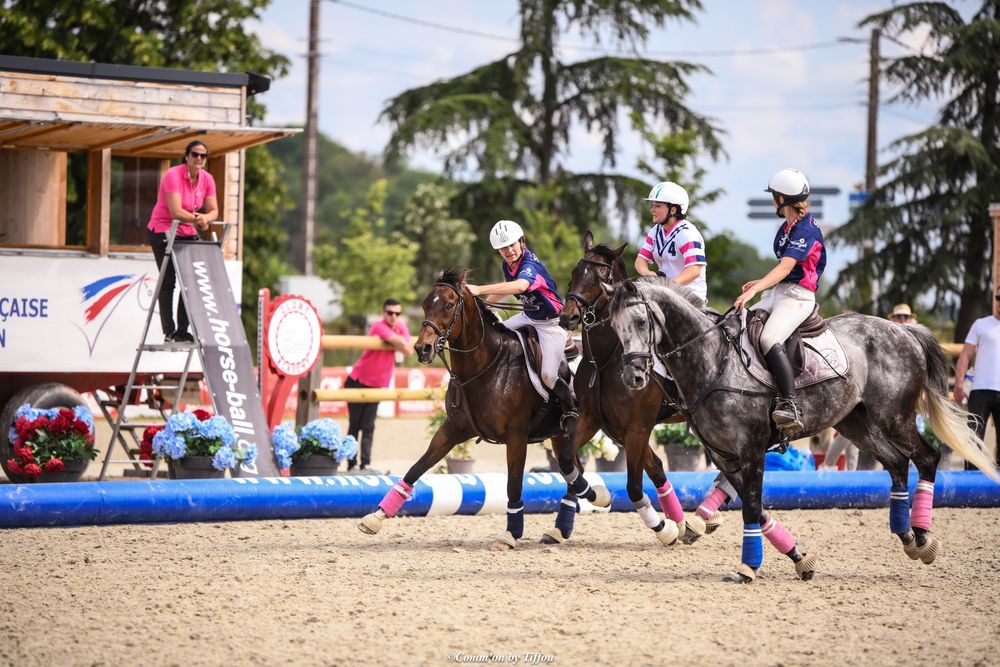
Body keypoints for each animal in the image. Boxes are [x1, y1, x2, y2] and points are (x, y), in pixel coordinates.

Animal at [359, 268, 611, 549]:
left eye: (449, 305)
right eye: (424, 304)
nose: (422, 348)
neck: (485, 366)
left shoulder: (516, 436)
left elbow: (514, 484)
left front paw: (510, 534)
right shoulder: (453, 429)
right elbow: (416, 468)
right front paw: (376, 517)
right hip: (561, 435)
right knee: (572, 469)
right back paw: (566, 523)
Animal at [558, 233, 712, 546]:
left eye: (601, 276)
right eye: (575, 272)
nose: (567, 318)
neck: (606, 358)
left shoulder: (637, 427)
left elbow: (634, 484)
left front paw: (664, 528)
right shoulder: (594, 420)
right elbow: (568, 460)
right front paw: (598, 496)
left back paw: (705, 519)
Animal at [606, 277, 1000, 582]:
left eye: (640, 321)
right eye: (615, 326)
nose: (633, 378)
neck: (712, 359)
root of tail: (903, 329)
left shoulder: (750, 450)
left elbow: (752, 506)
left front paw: (749, 568)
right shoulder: (724, 456)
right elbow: (756, 507)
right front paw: (799, 558)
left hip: (894, 417)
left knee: (927, 458)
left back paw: (922, 536)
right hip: (854, 423)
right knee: (897, 464)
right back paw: (906, 535)